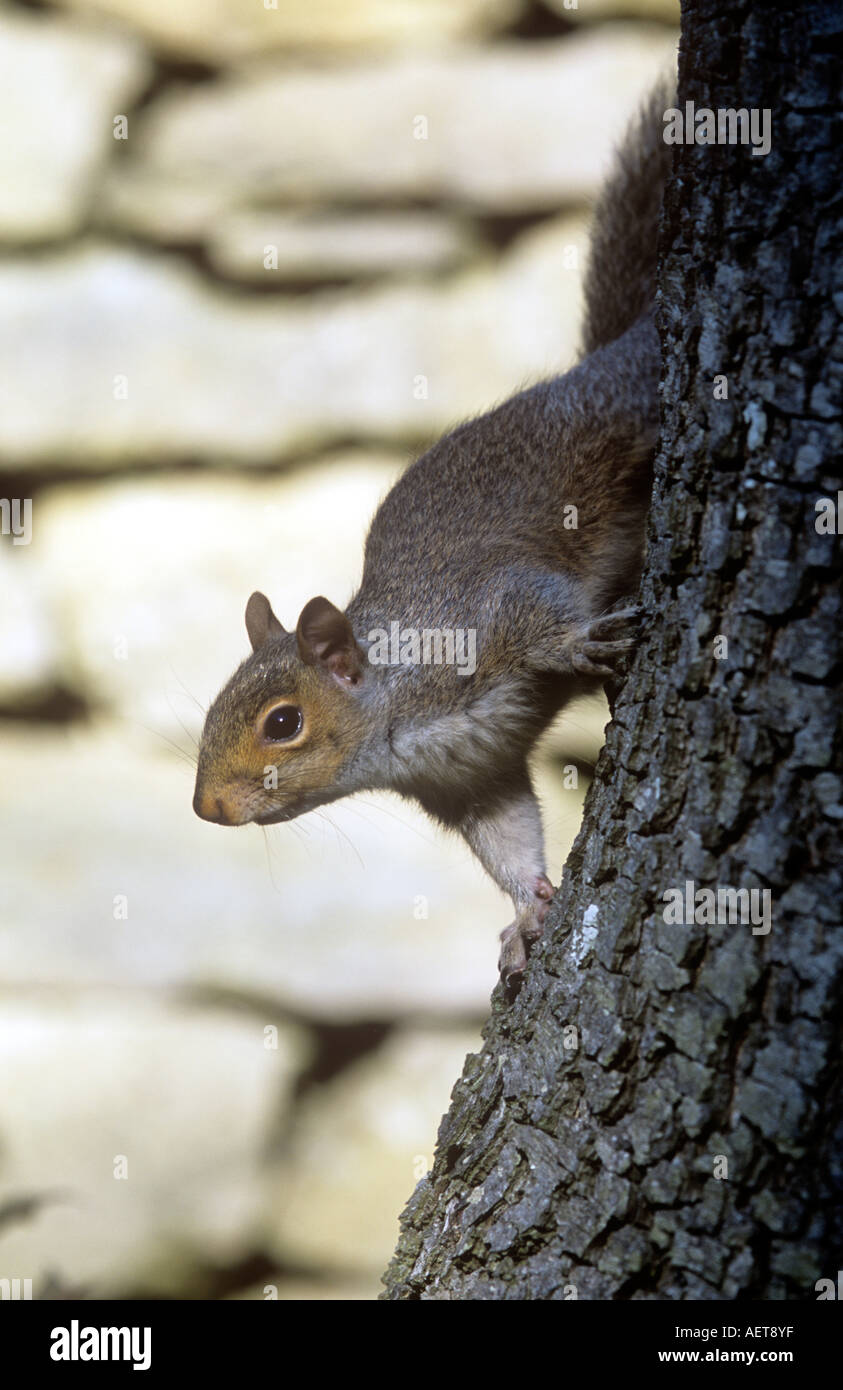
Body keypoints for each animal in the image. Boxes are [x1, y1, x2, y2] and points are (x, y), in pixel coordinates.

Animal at [193, 84, 673, 989]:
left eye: (283, 723)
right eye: (210, 710)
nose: (206, 808)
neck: (393, 715)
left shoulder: (478, 615)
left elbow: (536, 608)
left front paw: (581, 642)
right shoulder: (472, 778)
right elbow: (507, 834)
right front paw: (528, 913)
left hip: (608, 423)